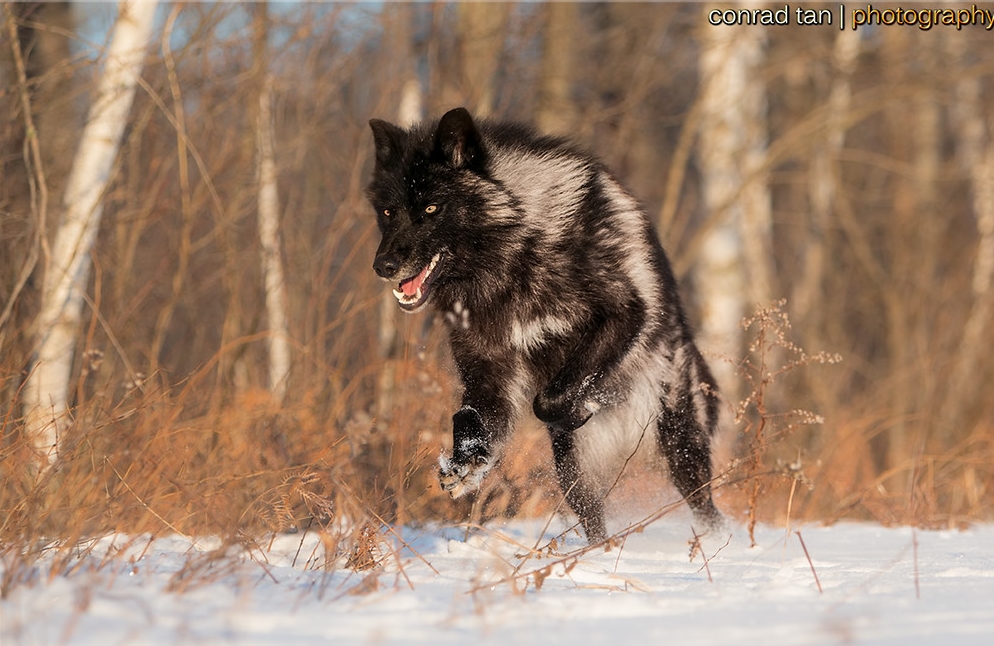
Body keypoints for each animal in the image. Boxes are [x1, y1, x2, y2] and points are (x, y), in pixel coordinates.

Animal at [366, 107, 722, 542]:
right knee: (593, 518)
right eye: (388, 212)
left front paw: (579, 408)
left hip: (680, 445)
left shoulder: (623, 314)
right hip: (572, 471)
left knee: (707, 509)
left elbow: (547, 400)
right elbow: (467, 416)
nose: (382, 266)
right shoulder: (488, 372)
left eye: (432, 209)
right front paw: (467, 462)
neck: (511, 260)